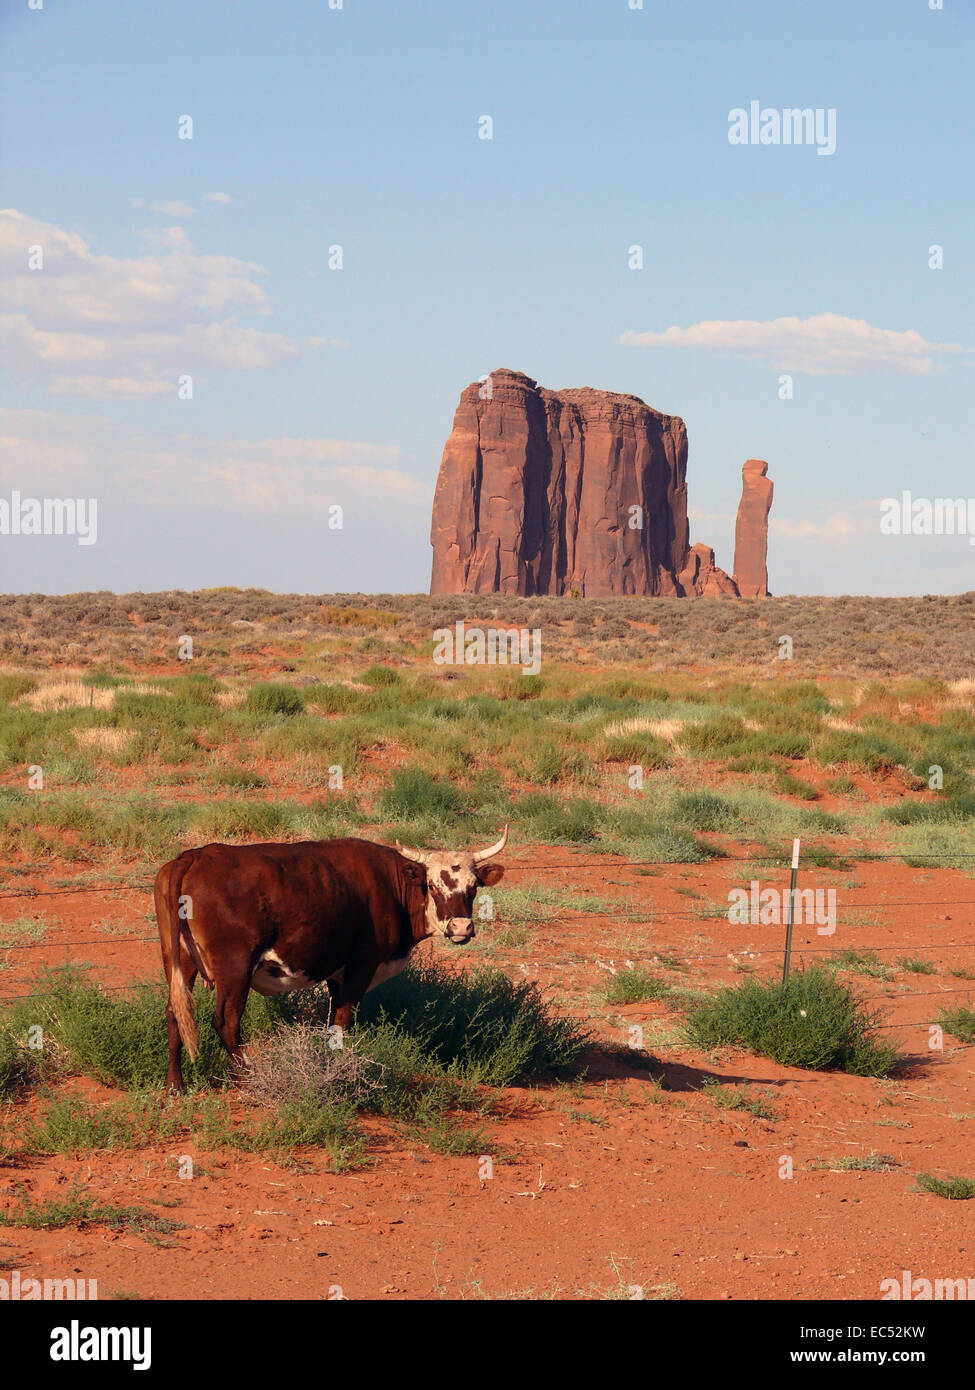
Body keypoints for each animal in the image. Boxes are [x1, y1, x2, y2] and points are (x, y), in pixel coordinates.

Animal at [153, 827, 507, 1091]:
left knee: (174, 1012)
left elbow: (333, 1023)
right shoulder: (360, 967)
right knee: (226, 1021)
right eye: (432, 885)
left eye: (473, 887)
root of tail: (195, 856)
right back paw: (247, 1079)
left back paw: (175, 1086)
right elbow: (343, 1021)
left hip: (178, 961)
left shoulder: (337, 975)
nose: (460, 927)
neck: (389, 884)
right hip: (235, 968)